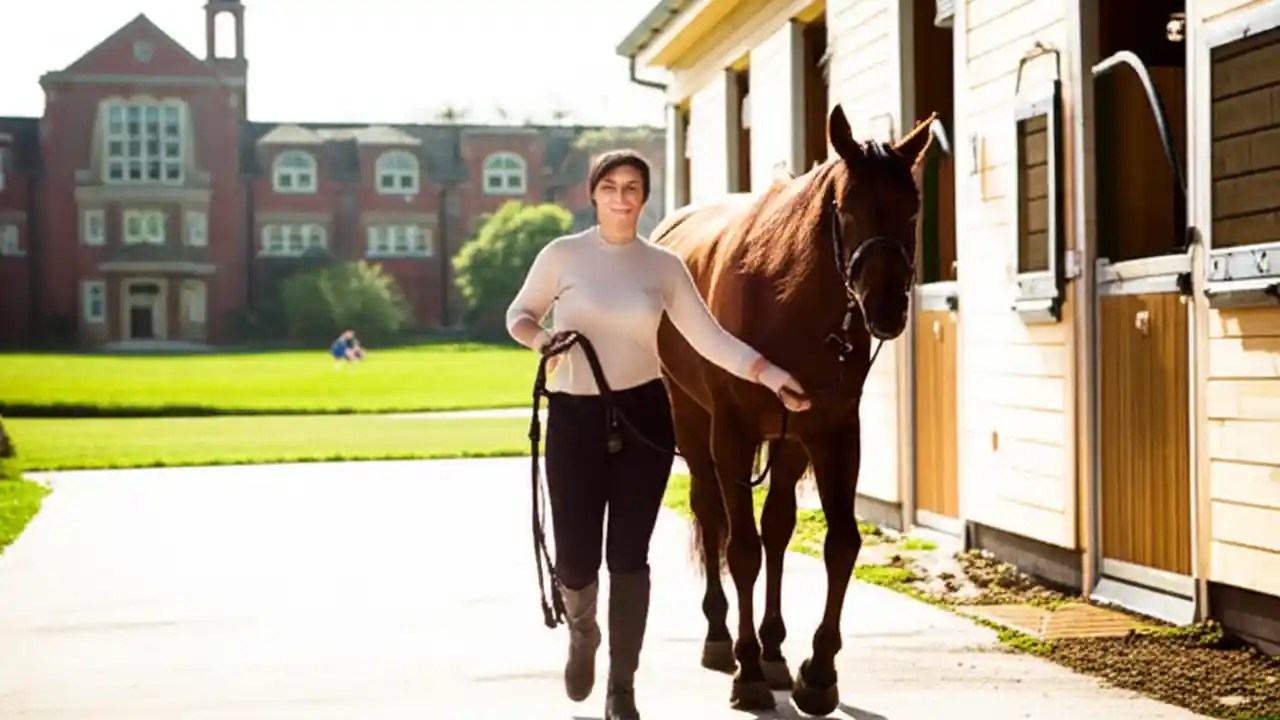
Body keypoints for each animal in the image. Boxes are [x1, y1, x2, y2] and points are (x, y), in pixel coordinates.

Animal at [650, 103, 935, 716]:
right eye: (847, 208)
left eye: (913, 208)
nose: (886, 309)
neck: (787, 301)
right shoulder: (732, 433)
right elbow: (741, 549)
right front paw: (748, 672)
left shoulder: (832, 434)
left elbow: (840, 544)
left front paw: (817, 672)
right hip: (693, 424)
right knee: (711, 515)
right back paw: (722, 639)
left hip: (787, 443)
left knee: (778, 527)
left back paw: (777, 649)